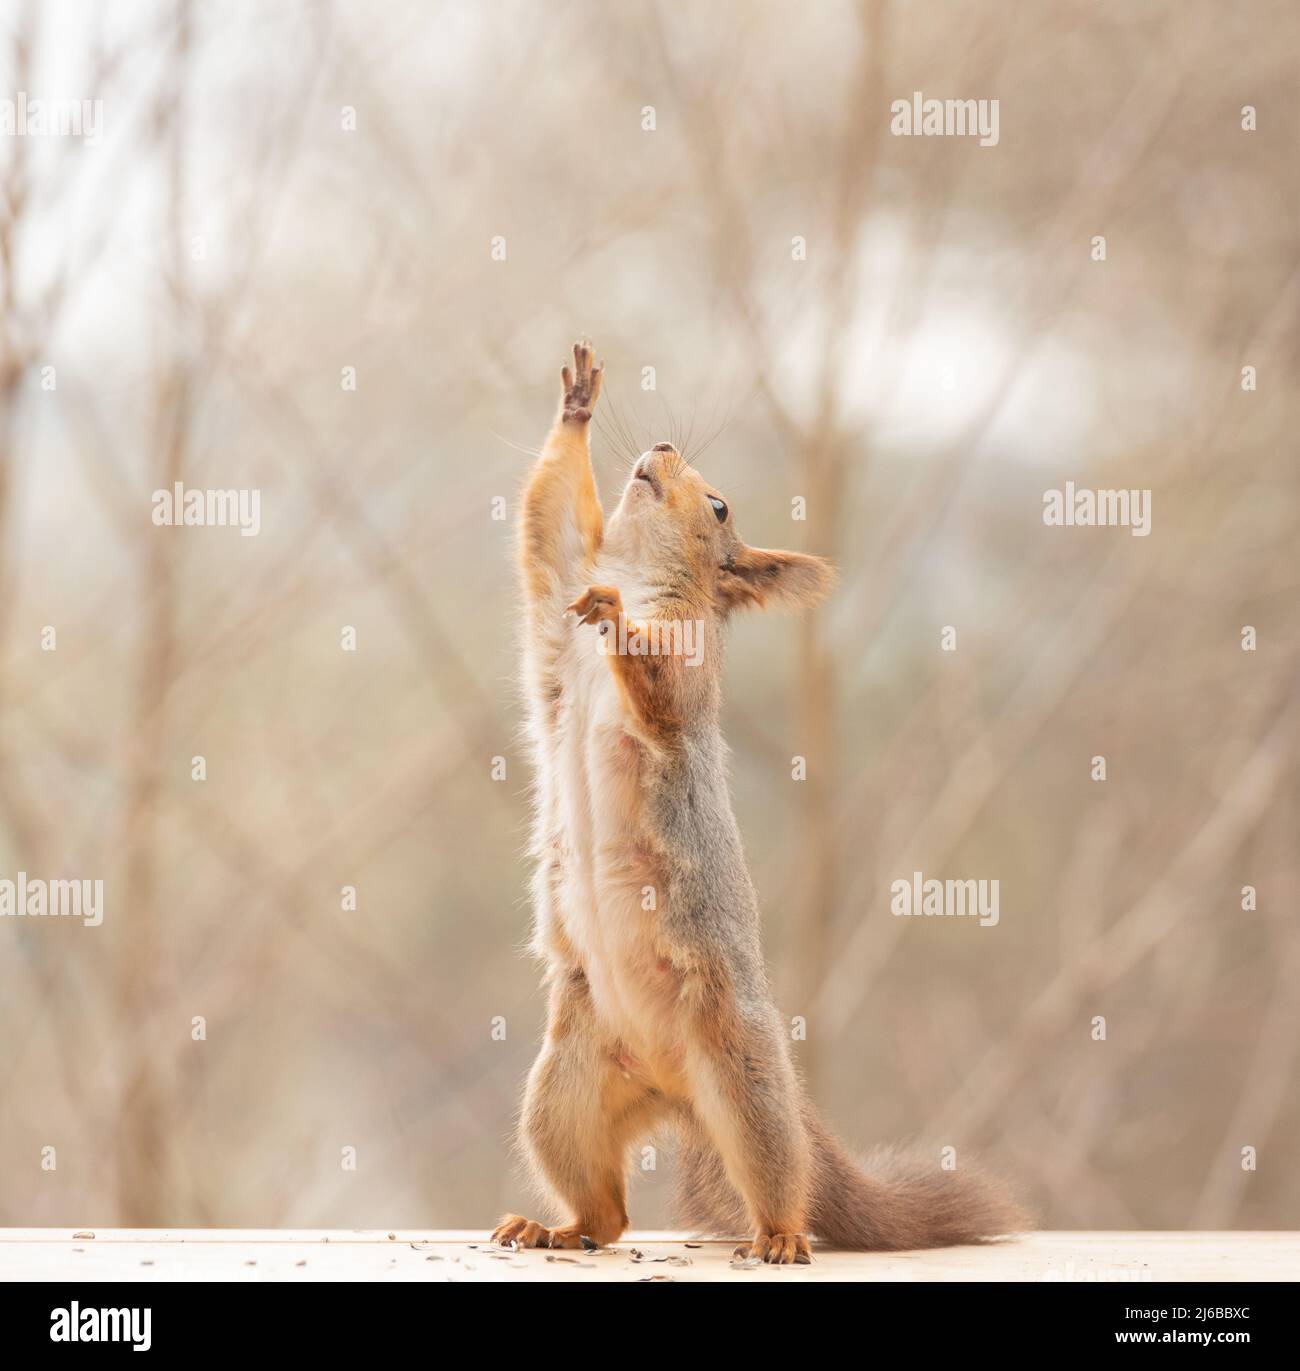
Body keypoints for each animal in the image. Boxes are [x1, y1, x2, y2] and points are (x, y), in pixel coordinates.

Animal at [494, 341, 1027, 1263]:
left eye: (718, 505)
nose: (663, 446)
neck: (638, 574)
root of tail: (669, 1090)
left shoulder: (689, 675)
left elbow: (660, 687)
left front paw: (621, 621)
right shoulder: (557, 609)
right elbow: (551, 521)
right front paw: (577, 403)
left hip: (741, 1077)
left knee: (776, 1172)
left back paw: (779, 1235)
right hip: (563, 1089)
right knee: (609, 1210)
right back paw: (556, 1225)